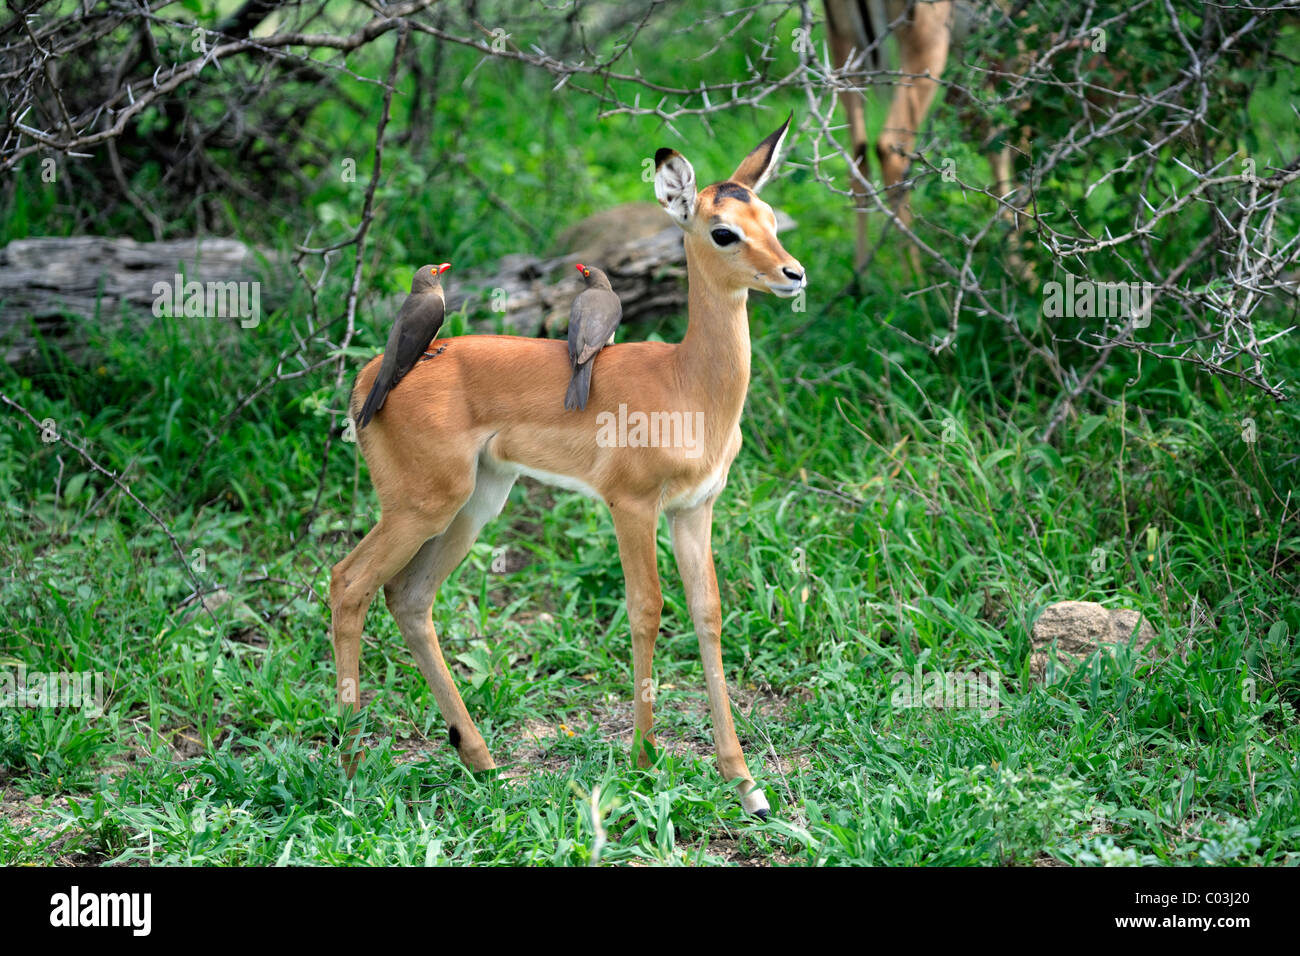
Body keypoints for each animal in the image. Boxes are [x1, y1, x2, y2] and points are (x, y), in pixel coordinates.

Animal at [329, 117, 806, 818]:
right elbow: (646, 609)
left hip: (477, 503)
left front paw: (746, 784)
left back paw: (483, 763)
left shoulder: (695, 509)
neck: (687, 384)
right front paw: (643, 763)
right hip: (421, 504)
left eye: (769, 216)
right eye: (723, 230)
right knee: (348, 583)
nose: (792, 274)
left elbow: (708, 613)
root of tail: (369, 381)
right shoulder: (631, 505)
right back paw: (351, 769)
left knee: (409, 597)